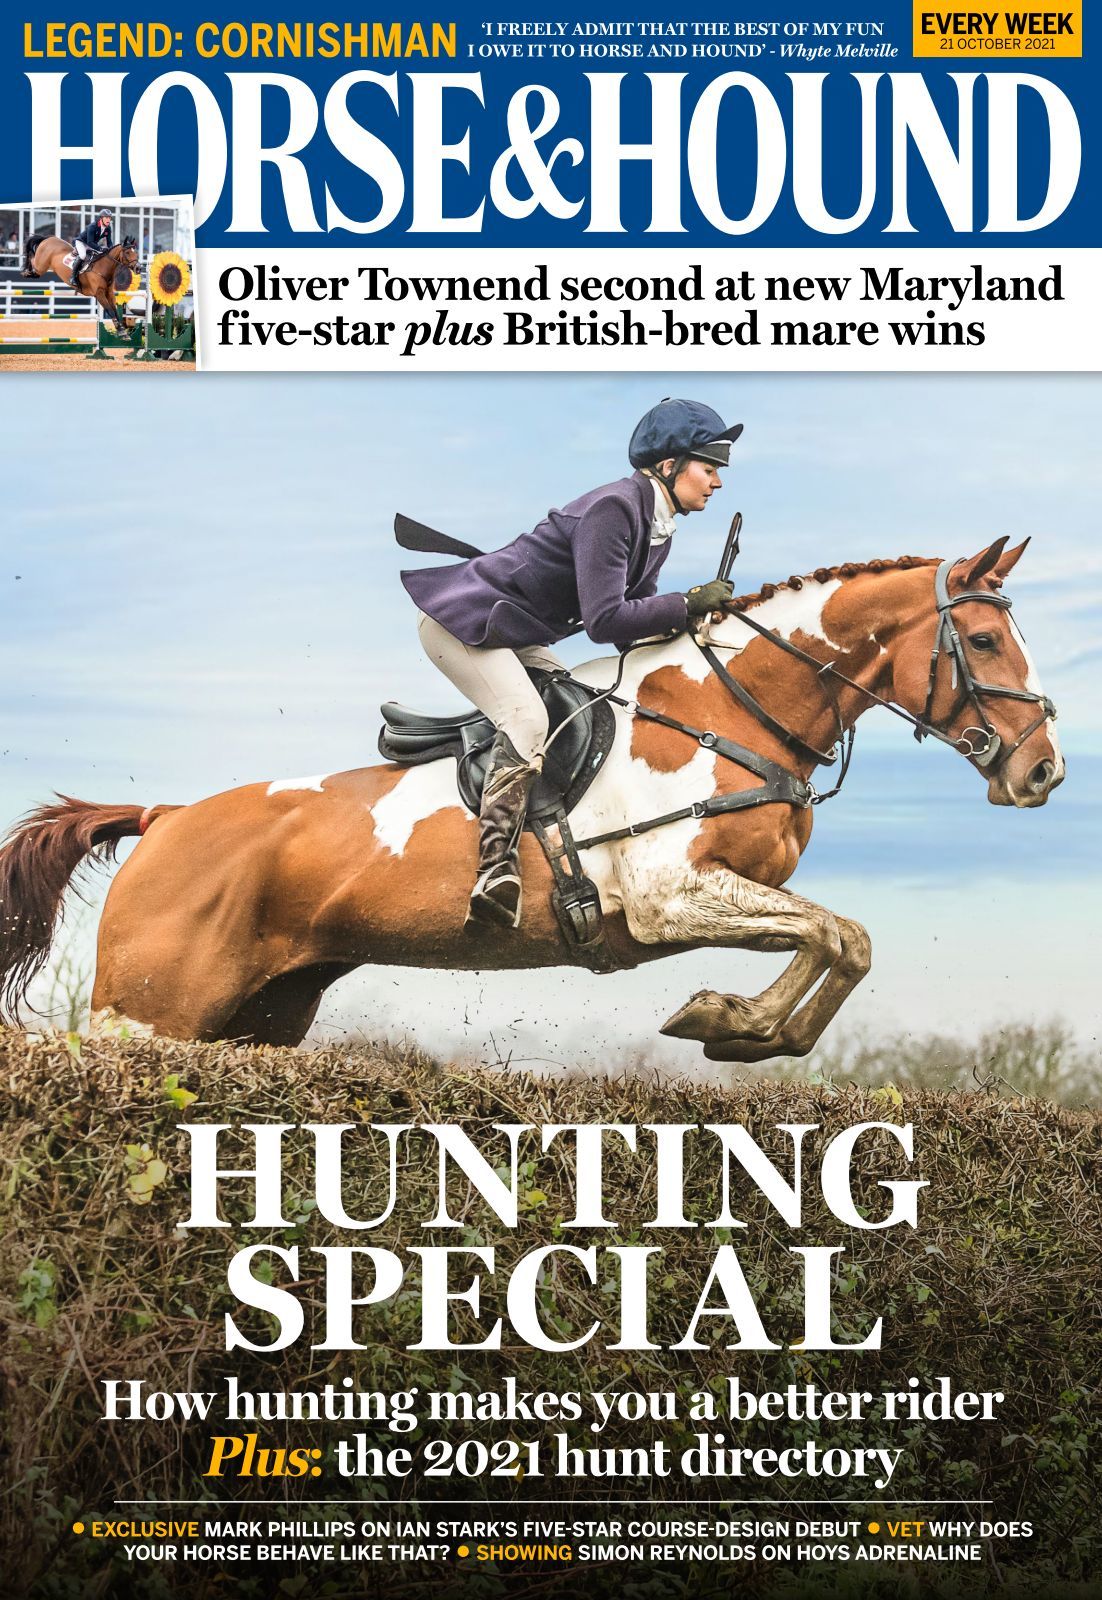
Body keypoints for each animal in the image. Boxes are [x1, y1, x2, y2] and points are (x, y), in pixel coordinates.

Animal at [0, 537, 1062, 1063]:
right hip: (146, 1016)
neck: (734, 707)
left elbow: (842, 938)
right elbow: (834, 932)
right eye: (985, 641)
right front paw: (725, 1020)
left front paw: (746, 1029)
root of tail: (167, 820)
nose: (1043, 772)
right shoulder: (671, 896)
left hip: (261, 1017)